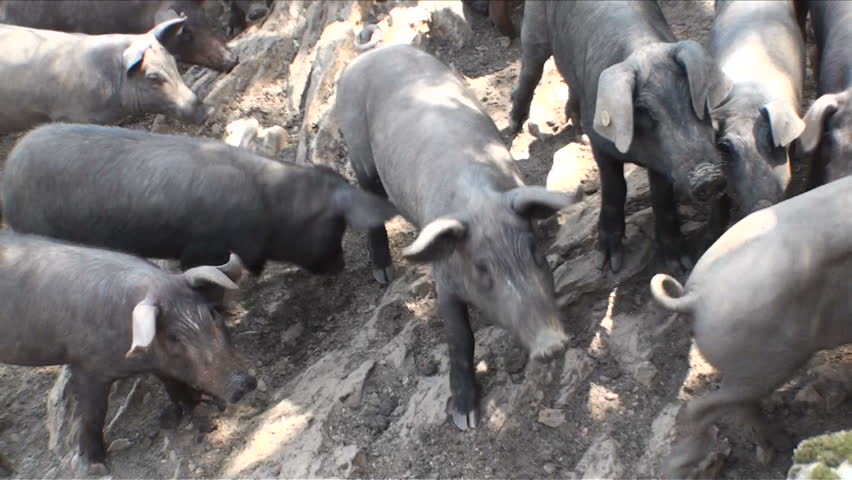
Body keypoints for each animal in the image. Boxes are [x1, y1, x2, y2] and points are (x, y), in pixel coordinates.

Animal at [0, 231, 256, 475]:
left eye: (213, 314)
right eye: (174, 337)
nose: (243, 384)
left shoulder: (159, 362)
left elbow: (173, 382)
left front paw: (202, 403)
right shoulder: (86, 366)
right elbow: (91, 414)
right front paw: (98, 467)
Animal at [335, 45, 581, 430]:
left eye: (535, 253)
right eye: (482, 269)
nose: (552, 343)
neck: (479, 201)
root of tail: (370, 54)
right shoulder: (444, 279)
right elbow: (460, 337)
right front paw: (466, 419)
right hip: (358, 149)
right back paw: (383, 276)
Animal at [510, 1, 732, 272]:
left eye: (693, 100)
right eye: (643, 110)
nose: (709, 177)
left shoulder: (662, 160)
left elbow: (663, 197)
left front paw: (680, 264)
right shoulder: (601, 145)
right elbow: (614, 187)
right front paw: (608, 264)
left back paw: (579, 132)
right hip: (534, 28)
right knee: (530, 70)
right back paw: (513, 127)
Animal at [649, 174, 852, 477]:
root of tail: (696, 296)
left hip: (752, 366)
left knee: (739, 404)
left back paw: (778, 444)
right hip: (769, 359)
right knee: (700, 409)